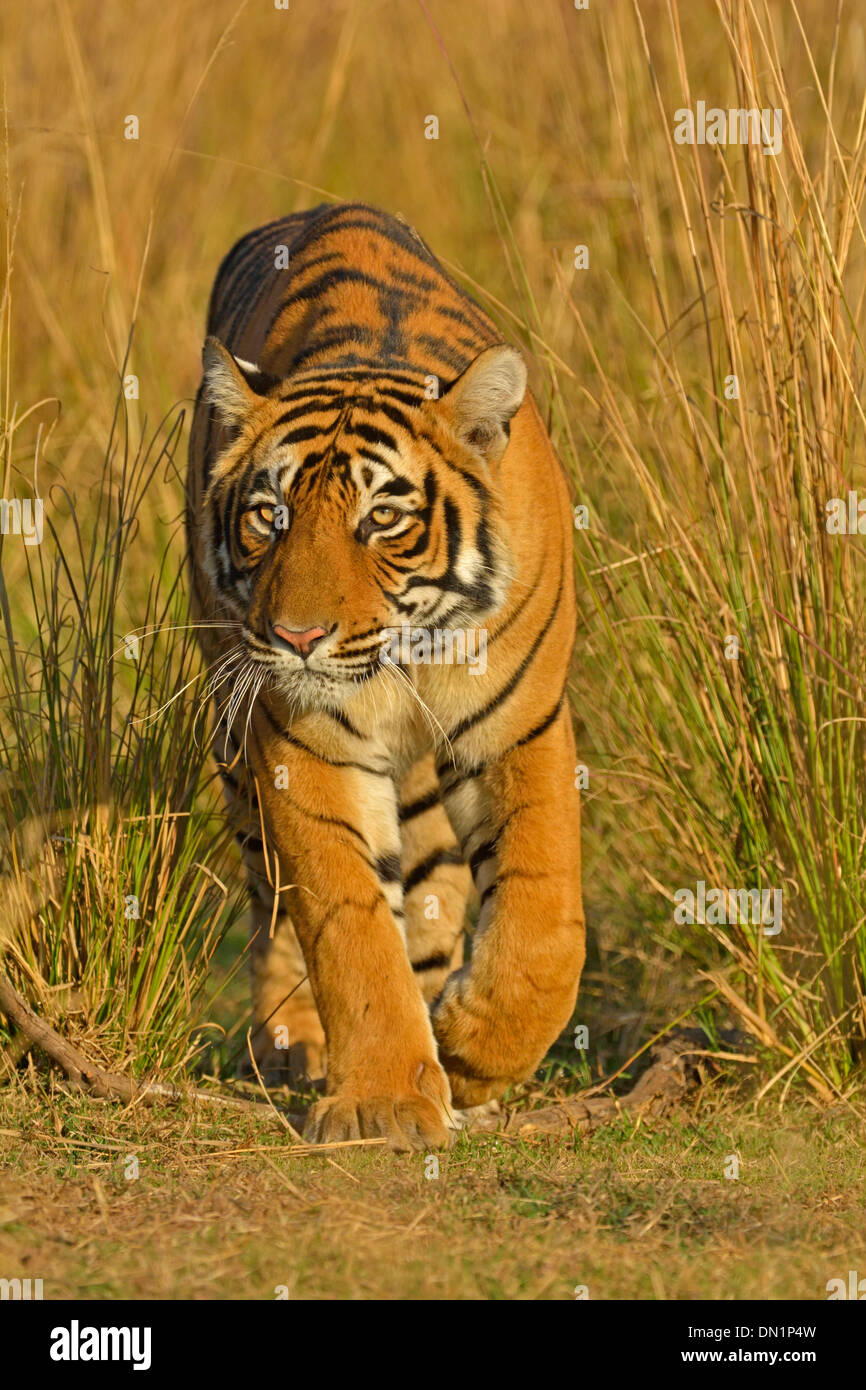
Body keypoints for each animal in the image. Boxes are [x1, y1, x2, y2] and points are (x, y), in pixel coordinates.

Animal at [186, 202, 585, 1150]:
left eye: (382, 519)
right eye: (270, 516)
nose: (296, 636)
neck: (406, 654)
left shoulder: (521, 725)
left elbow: (543, 917)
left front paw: (472, 1052)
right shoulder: (301, 745)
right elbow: (349, 927)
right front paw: (383, 1100)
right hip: (236, 736)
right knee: (273, 901)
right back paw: (295, 1042)